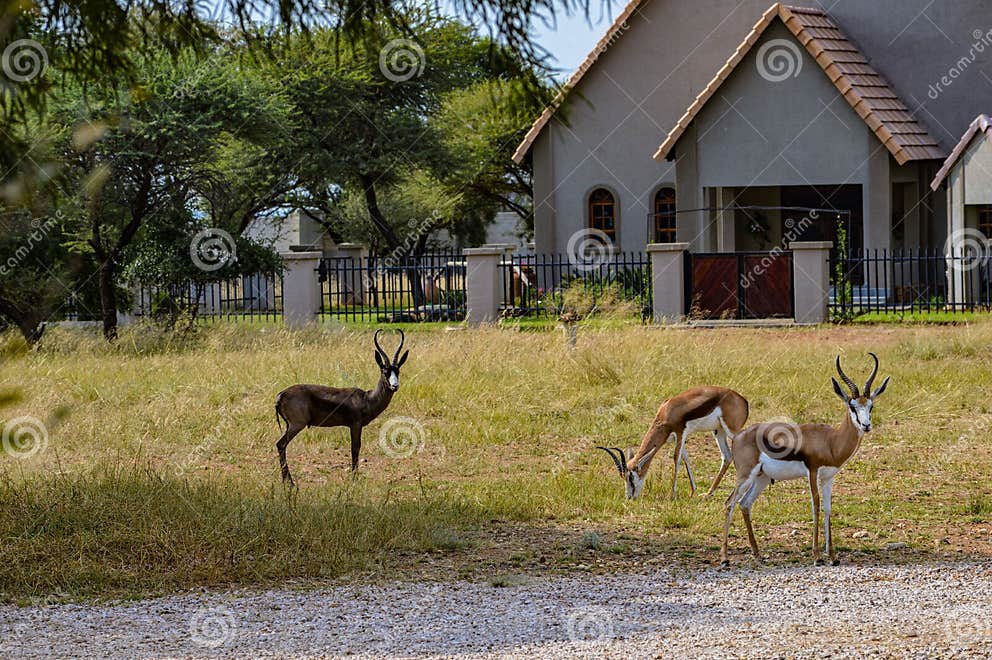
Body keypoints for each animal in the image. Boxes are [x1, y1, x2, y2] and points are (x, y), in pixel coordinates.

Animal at [274, 329, 409, 486]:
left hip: (290, 425)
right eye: (384, 371)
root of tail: (281, 394)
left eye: (397, 371)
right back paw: (290, 483)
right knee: (280, 444)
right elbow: (355, 448)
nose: (395, 386)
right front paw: (354, 479)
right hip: (296, 425)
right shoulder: (355, 425)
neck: (367, 398)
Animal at [598, 386, 749, 500]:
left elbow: (676, 459)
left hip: (732, 432)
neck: (666, 412)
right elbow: (685, 458)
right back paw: (708, 494)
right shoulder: (677, 439)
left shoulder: (680, 432)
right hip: (719, 431)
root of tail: (743, 400)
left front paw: (672, 495)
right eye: (622, 477)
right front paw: (692, 492)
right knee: (727, 457)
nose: (629, 497)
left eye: (630, 477)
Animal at [720, 354, 890, 567]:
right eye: (852, 406)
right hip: (745, 475)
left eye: (871, 406)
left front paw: (833, 556)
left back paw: (758, 555)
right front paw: (817, 556)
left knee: (745, 504)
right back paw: (725, 558)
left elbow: (827, 508)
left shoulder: (828, 477)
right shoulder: (813, 471)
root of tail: (738, 436)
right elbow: (815, 505)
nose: (866, 425)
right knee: (729, 503)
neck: (831, 441)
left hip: (762, 478)